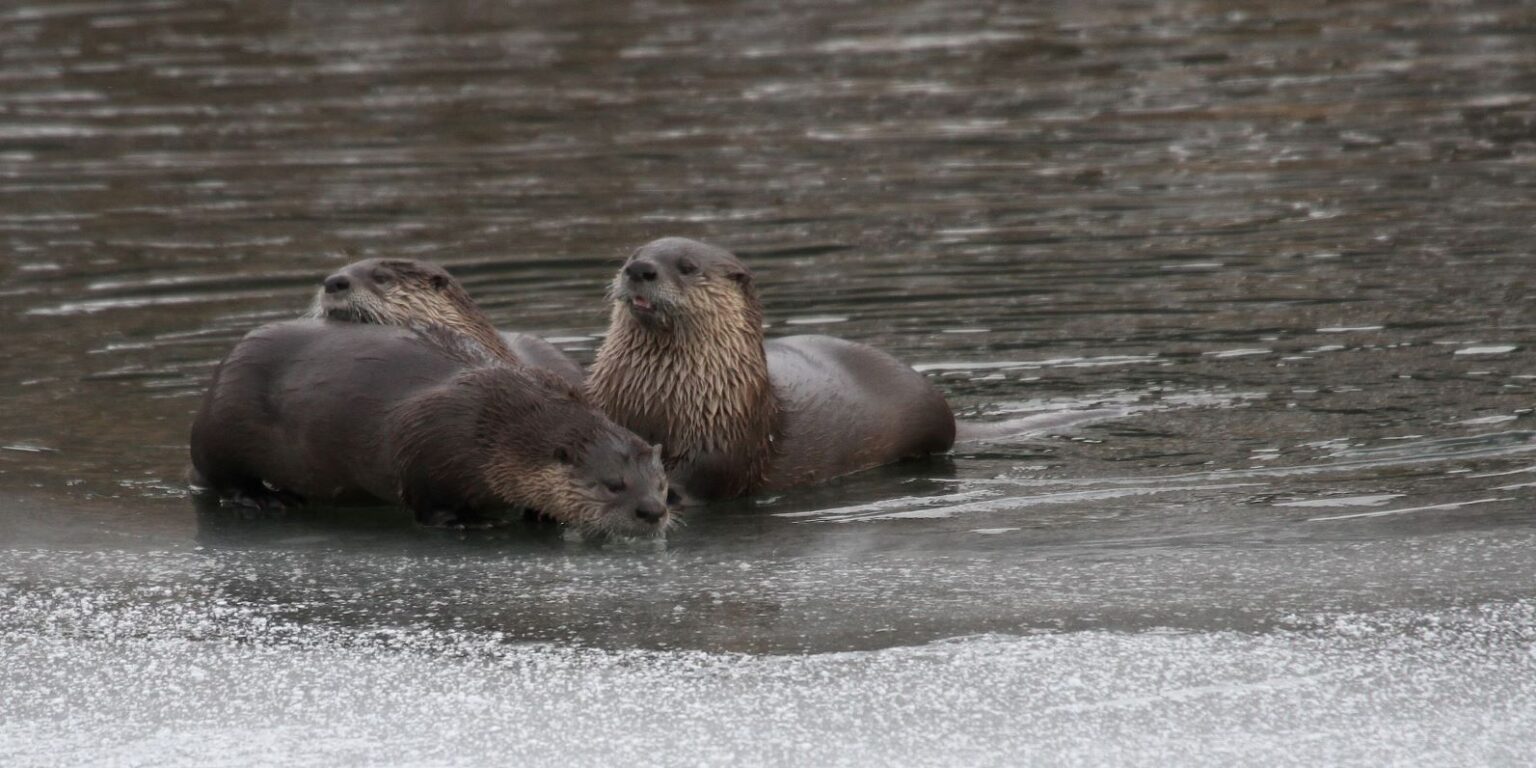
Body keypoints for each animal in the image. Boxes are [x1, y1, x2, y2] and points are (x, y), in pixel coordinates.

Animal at [190, 319, 670, 537]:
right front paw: (468, 521)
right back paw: (263, 498)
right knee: (222, 477)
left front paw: (541, 514)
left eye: (662, 485)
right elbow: (427, 501)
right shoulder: (427, 442)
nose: (653, 511)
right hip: (223, 423)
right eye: (613, 484)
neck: (499, 428)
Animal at [588, 237, 956, 501]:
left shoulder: (722, 443)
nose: (639, 269)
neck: (656, 401)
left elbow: (697, 480)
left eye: (687, 266)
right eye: (633, 254)